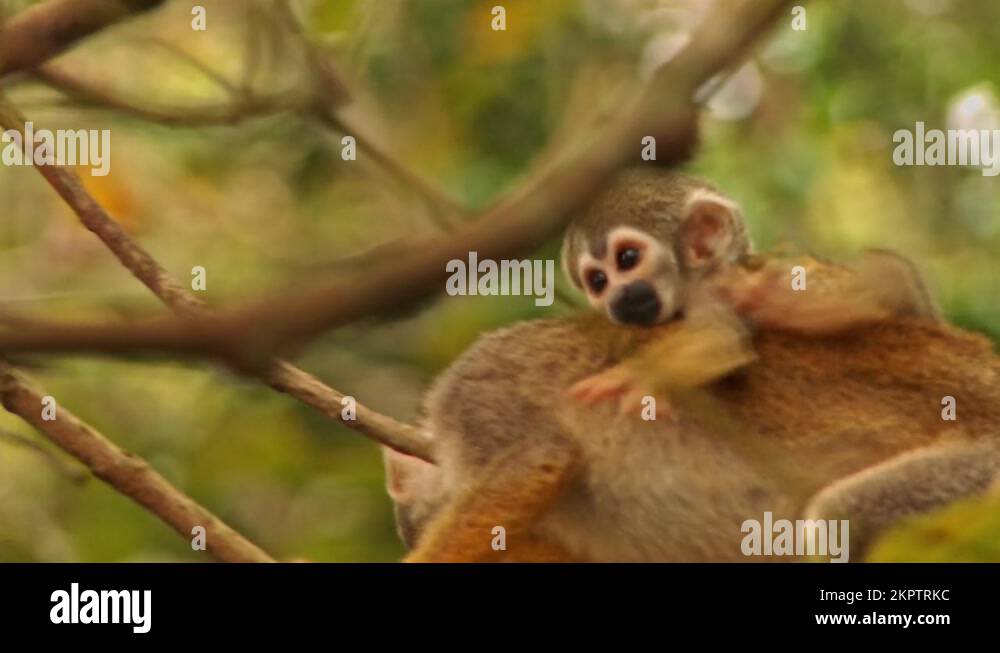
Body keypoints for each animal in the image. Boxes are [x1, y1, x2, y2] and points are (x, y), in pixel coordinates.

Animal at [387, 168, 1000, 562]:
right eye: (596, 280)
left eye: (627, 259)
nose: (621, 300)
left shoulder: (472, 393)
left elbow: (535, 458)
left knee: (840, 518)